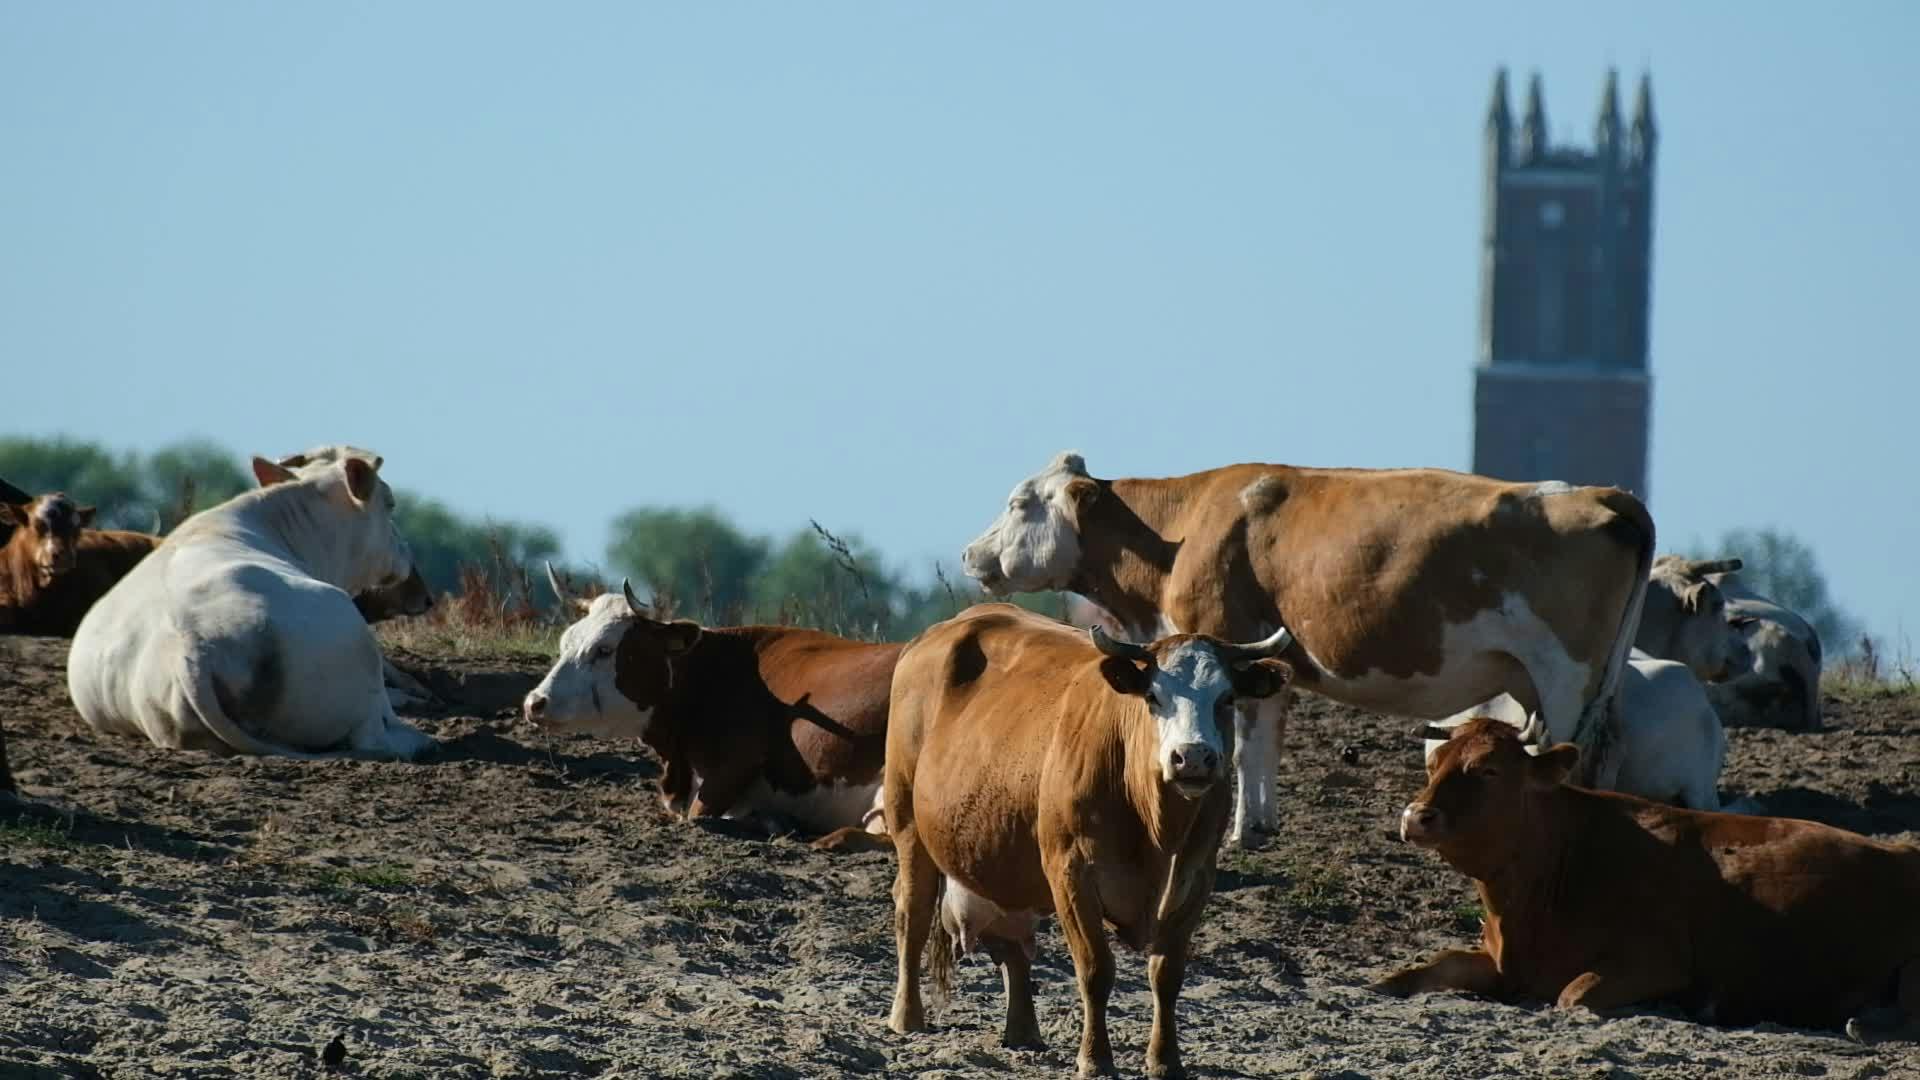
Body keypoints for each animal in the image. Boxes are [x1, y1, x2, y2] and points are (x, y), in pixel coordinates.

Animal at [67, 449, 433, 759]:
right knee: (375, 736)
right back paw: (418, 739)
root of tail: (194, 647)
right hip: (354, 645)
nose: (406, 554)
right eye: (390, 503)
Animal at [884, 603, 1294, 1078]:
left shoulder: (1196, 876)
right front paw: (1095, 1058)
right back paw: (906, 1016)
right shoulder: (1070, 872)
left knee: (1011, 941)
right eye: (1154, 697)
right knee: (912, 912)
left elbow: (1167, 973)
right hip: (907, 821)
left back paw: (1023, 1031)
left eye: (1226, 699)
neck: (1154, 826)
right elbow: (1096, 969)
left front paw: (1165, 1059)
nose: (1192, 757)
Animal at [960, 452, 1654, 845]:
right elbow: (1264, 742)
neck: (1180, 531)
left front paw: (1237, 832)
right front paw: (1261, 825)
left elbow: (1240, 747)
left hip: (1564, 677)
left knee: (1569, 759)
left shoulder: (1223, 639)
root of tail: (1601, 494)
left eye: (1020, 503)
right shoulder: (1266, 661)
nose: (970, 554)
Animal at [1374, 718, 1920, 1040]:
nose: (1416, 816)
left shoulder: (1656, 960)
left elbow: (1573, 996)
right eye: (1433, 763)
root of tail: (1903, 850)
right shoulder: (1502, 961)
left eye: (1488, 769)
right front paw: (1383, 986)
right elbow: (1428, 969)